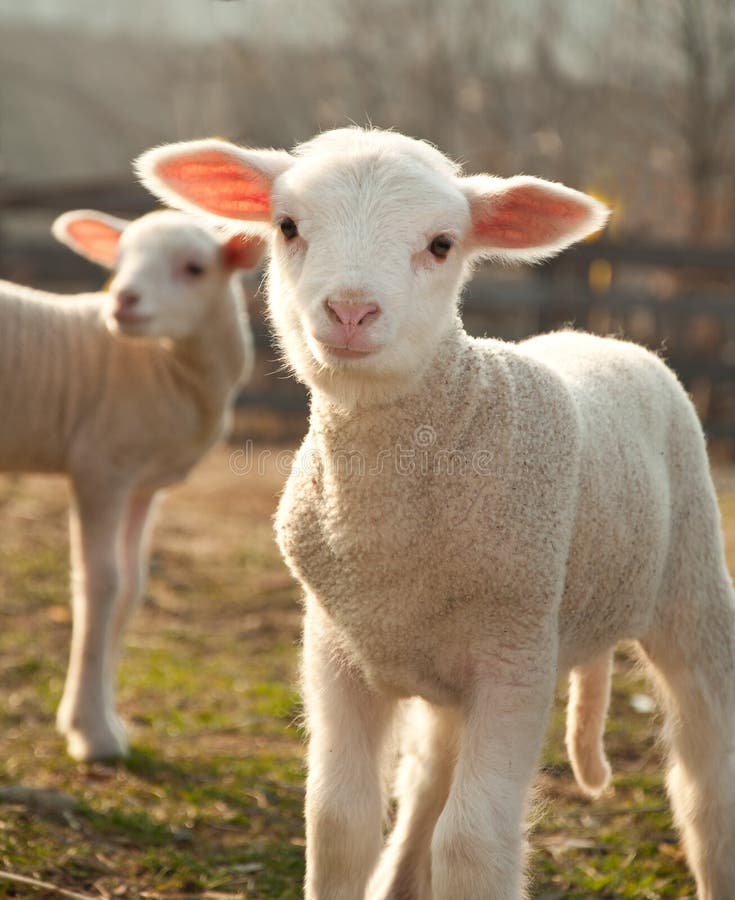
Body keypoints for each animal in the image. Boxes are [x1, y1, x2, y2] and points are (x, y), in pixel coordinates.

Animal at [1, 208, 262, 762]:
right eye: (118, 262)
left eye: (194, 268)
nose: (123, 300)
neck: (162, 367)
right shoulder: (100, 470)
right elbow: (102, 584)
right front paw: (90, 731)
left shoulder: (145, 484)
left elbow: (132, 588)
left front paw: (108, 720)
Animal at [137, 127, 735, 900]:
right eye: (288, 226)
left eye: (442, 244)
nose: (350, 311)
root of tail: (599, 337)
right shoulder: (335, 645)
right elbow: (339, 822)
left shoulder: (515, 656)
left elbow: (473, 843)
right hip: (447, 674)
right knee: (427, 780)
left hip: (691, 587)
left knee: (703, 776)